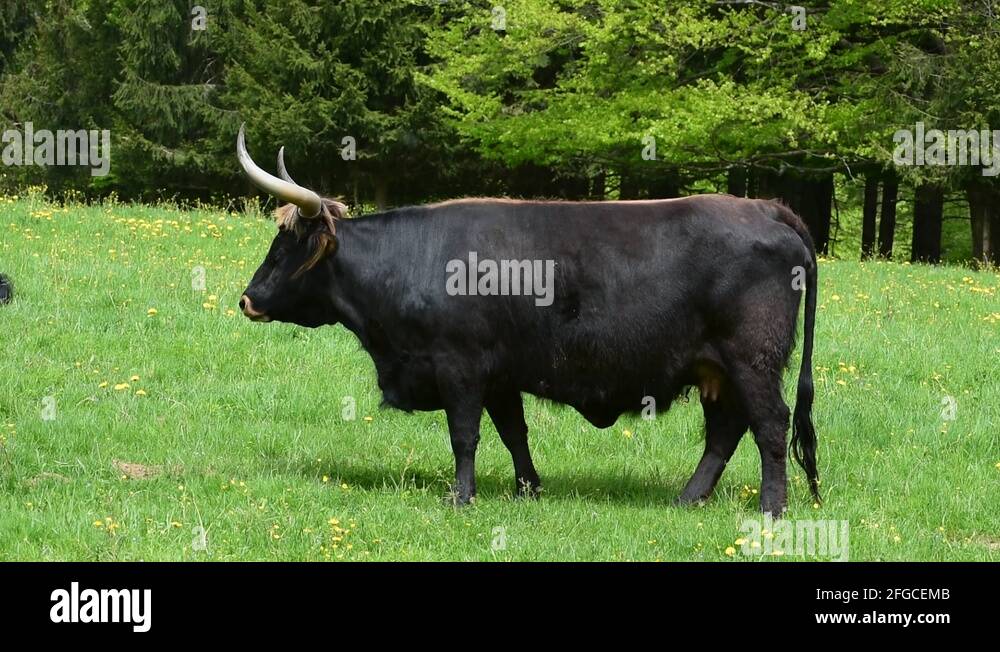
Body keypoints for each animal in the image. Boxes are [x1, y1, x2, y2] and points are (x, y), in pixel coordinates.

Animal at [235, 125, 820, 514]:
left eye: (284, 249)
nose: (246, 300)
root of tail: (766, 208)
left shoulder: (460, 367)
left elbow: (464, 436)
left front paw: (462, 497)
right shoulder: (501, 376)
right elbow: (514, 433)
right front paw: (528, 490)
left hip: (752, 360)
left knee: (769, 424)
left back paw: (771, 508)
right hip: (716, 369)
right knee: (725, 431)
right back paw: (688, 498)